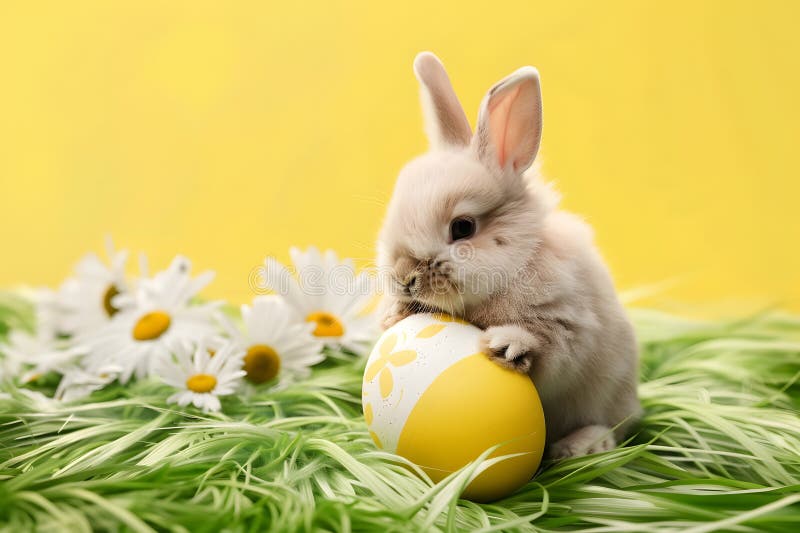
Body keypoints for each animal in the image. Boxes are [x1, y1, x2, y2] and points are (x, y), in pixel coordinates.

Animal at [376, 52, 640, 459]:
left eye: (463, 227)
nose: (405, 277)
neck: (519, 263)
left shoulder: (567, 325)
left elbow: (548, 350)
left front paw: (507, 345)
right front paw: (393, 314)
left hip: (608, 393)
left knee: (609, 424)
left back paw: (581, 445)